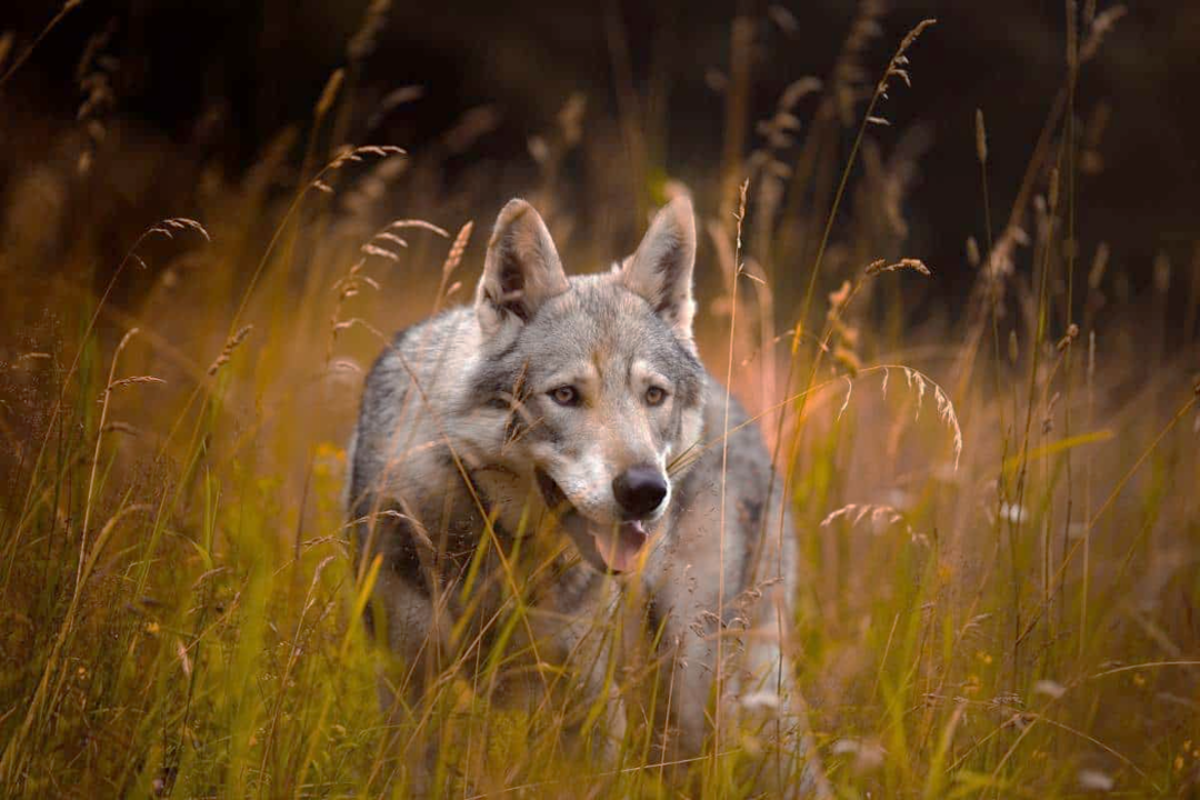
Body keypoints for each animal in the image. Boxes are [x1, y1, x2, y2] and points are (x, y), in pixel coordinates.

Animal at [346, 195, 810, 787]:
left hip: (693, 687)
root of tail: (748, 419)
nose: (645, 491)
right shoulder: (407, 688)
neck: (504, 553)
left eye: (653, 395)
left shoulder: (589, 707)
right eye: (565, 395)